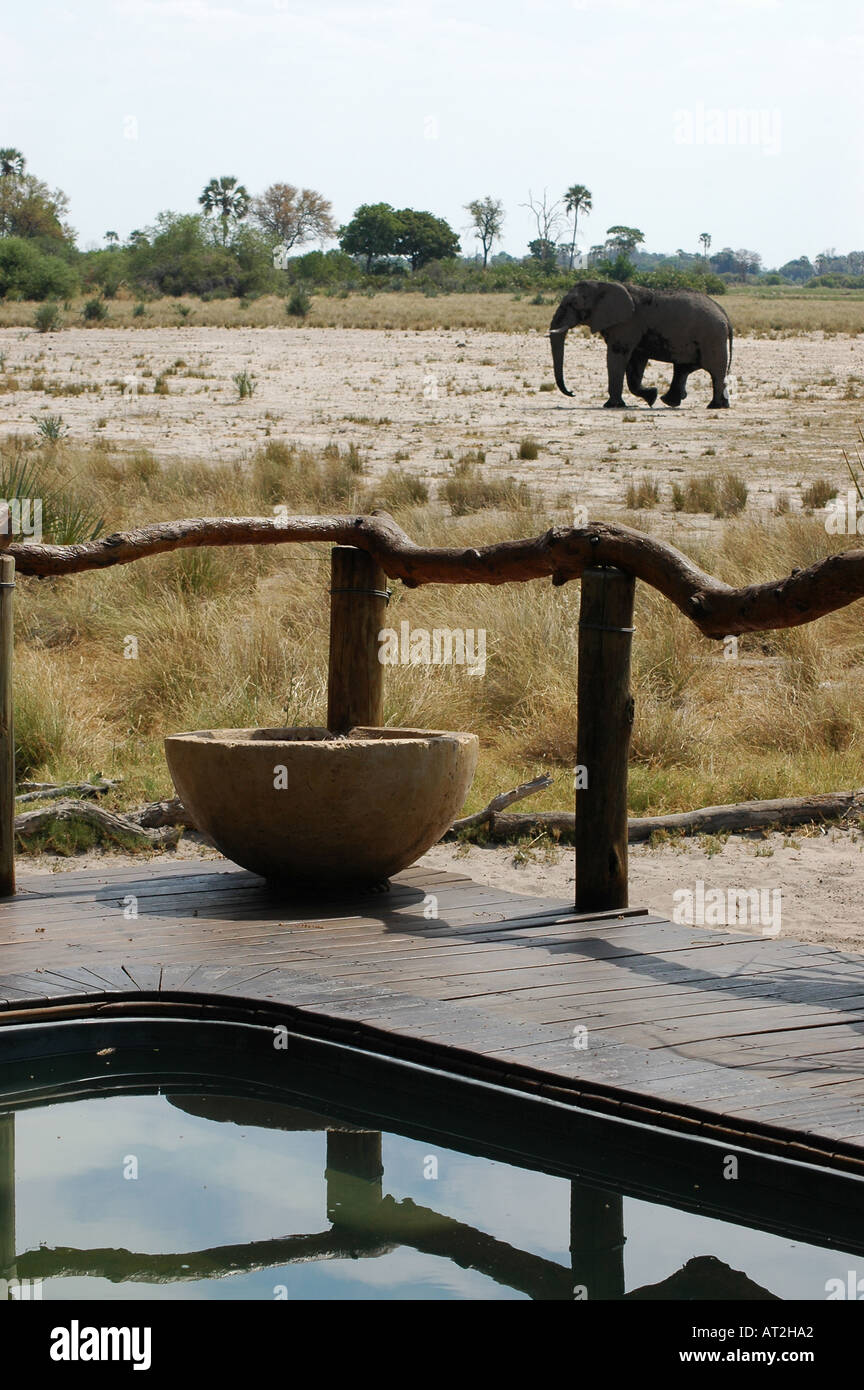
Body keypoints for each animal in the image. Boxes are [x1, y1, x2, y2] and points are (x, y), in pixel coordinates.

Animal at [548, 280, 733, 409]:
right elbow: (635, 362)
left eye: (573, 304)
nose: (572, 393)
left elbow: (617, 356)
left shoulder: (627, 324)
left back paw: (714, 406)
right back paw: (671, 402)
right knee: (684, 368)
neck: (603, 285)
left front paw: (612, 405)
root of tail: (724, 314)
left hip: (712, 337)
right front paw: (651, 396)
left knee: (714, 370)